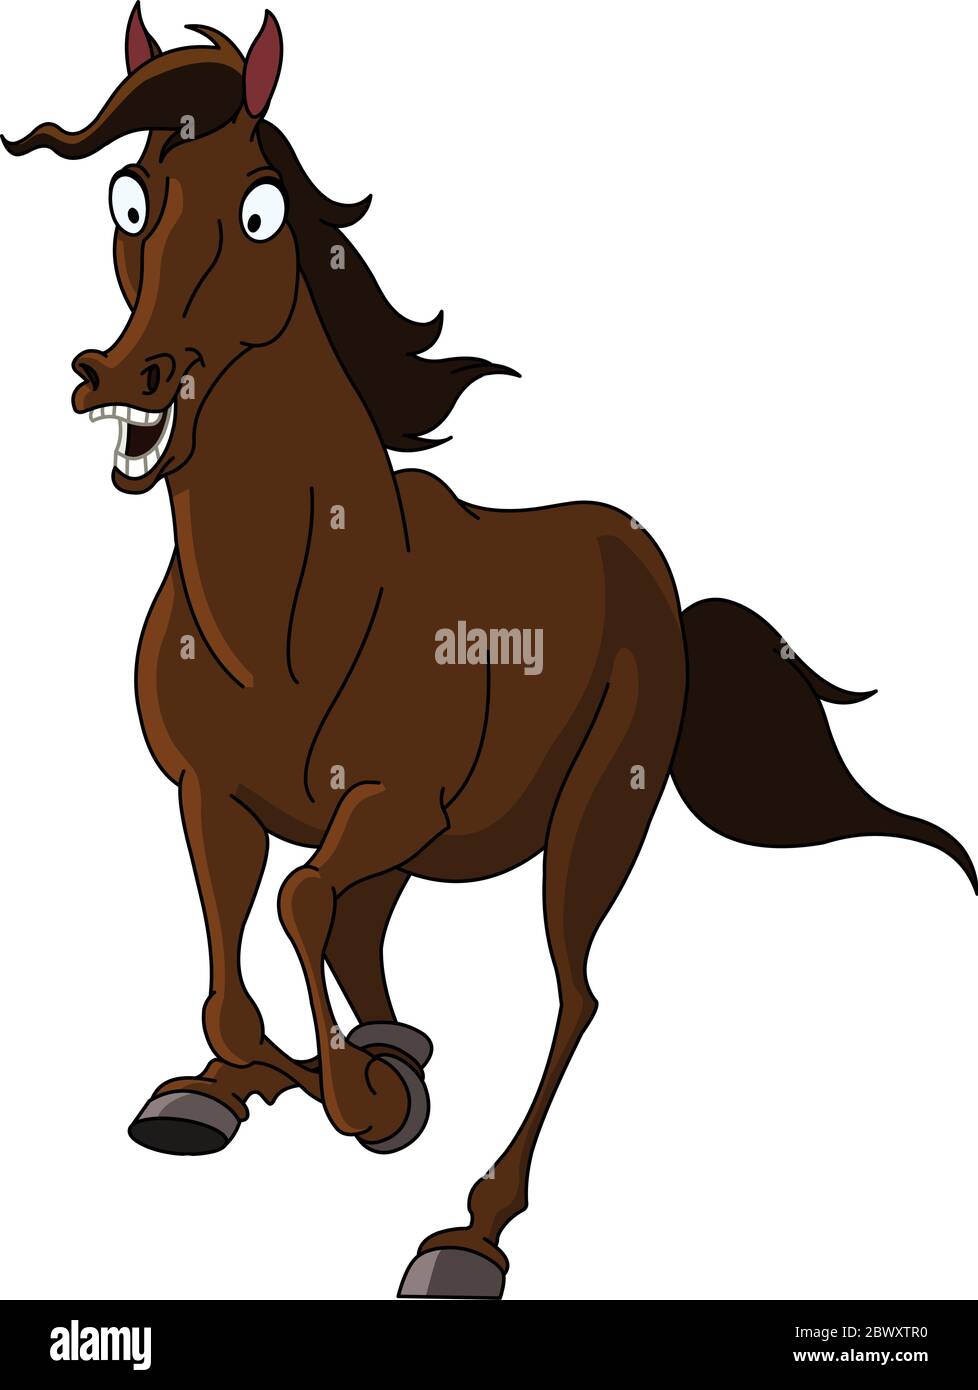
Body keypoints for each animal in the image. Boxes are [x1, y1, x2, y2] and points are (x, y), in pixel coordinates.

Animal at [4, 5, 974, 1300]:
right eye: (126, 197)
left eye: (261, 213)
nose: (125, 376)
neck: (288, 616)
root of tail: (657, 576)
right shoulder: (210, 794)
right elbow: (238, 961)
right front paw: (237, 1089)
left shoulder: (393, 800)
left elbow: (300, 907)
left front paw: (367, 1102)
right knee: (368, 932)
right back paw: (389, 1058)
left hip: (594, 819)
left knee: (569, 993)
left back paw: (466, 1231)